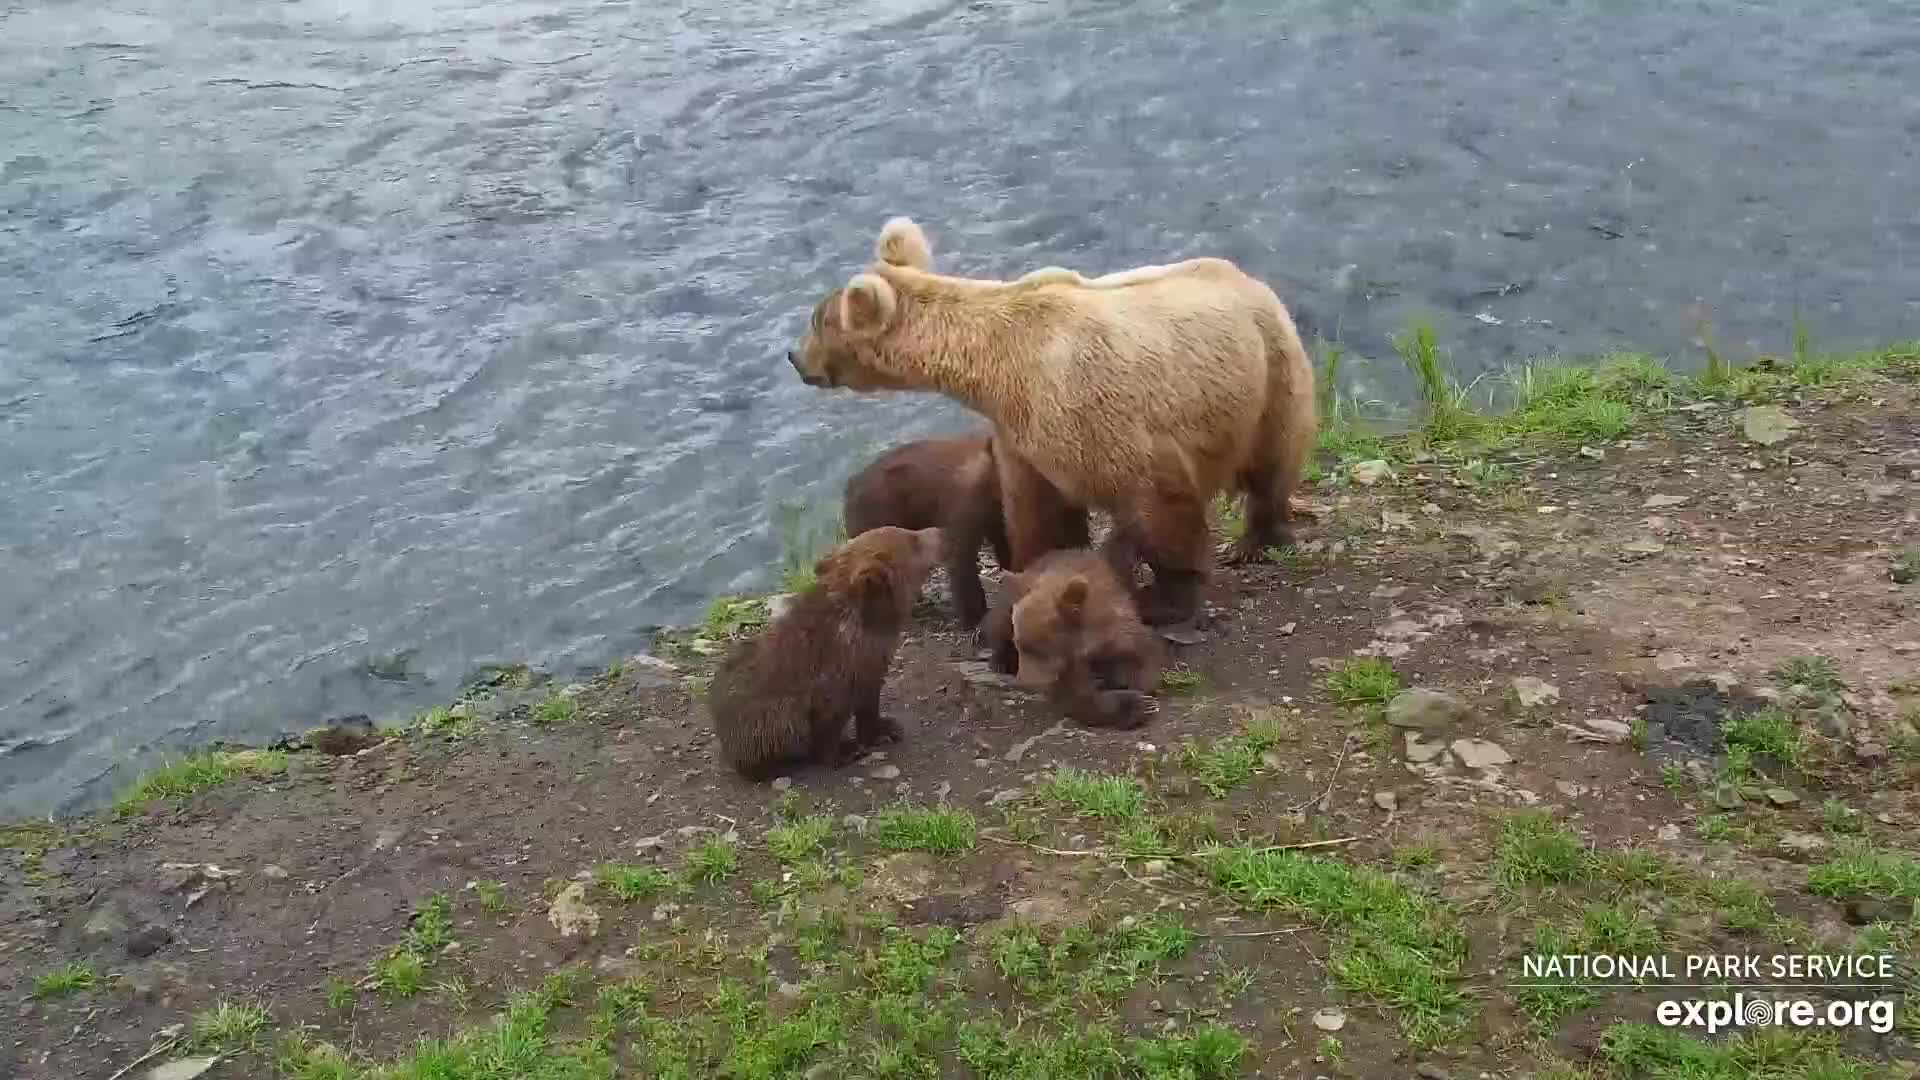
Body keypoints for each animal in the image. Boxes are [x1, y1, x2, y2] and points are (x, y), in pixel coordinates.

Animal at [708, 525, 944, 780]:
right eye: (913, 540)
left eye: (911, 532)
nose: (938, 530)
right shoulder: (827, 685)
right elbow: (824, 728)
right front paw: (845, 751)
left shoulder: (868, 673)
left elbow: (869, 709)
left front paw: (885, 729)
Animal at [787, 216, 1316, 626]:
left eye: (815, 319)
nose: (793, 356)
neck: (997, 369)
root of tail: (1247, 277)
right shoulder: (1023, 437)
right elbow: (1039, 515)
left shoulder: (1093, 409)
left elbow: (1158, 504)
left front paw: (1168, 597)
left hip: (1267, 368)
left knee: (1272, 457)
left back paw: (1256, 539)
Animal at [980, 548, 1164, 730]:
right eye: (1019, 645)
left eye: (1041, 652)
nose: (1025, 684)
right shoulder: (1070, 665)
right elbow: (1076, 697)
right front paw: (1135, 705)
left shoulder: (1119, 631)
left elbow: (1144, 658)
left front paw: (1139, 695)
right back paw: (998, 661)